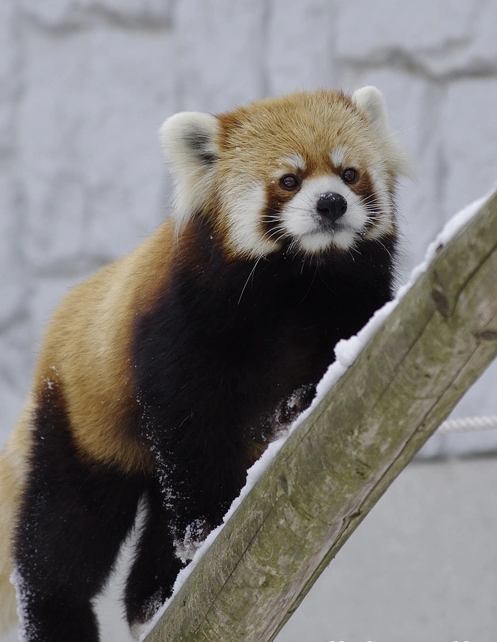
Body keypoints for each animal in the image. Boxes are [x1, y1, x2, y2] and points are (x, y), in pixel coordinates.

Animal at [0, 86, 410, 641]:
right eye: (289, 179)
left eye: (349, 174)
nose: (331, 203)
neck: (299, 281)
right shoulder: (183, 323)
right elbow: (187, 426)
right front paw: (200, 529)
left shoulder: (347, 302)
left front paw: (300, 400)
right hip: (83, 414)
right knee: (66, 529)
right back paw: (64, 613)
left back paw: (152, 596)